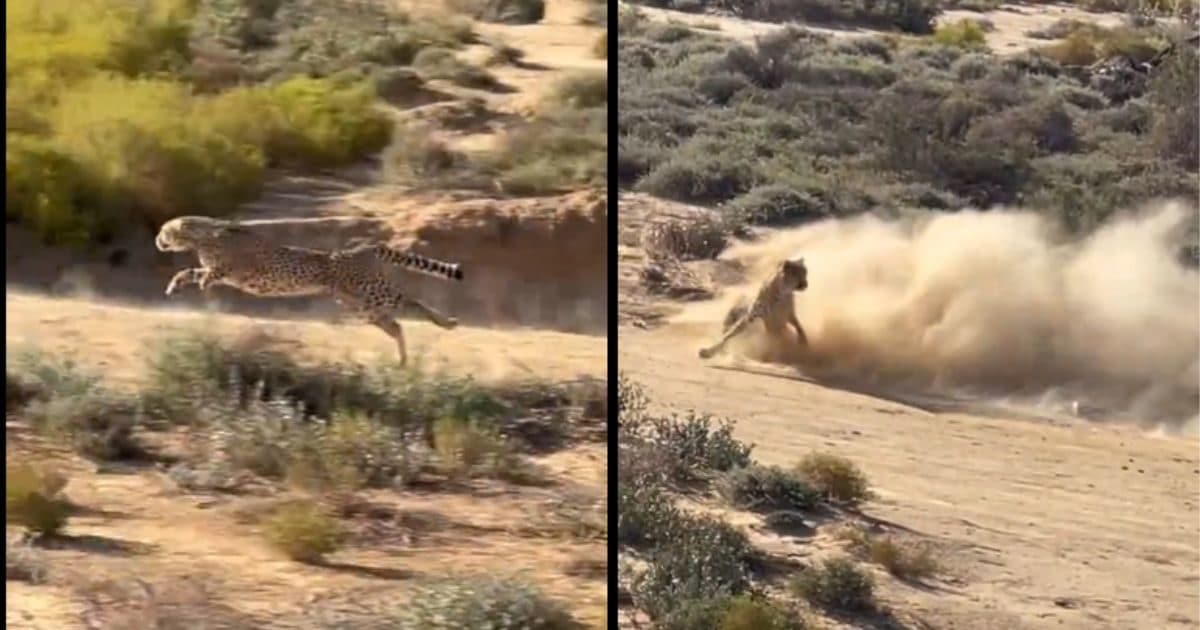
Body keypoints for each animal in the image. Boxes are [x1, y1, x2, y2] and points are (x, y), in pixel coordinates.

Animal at [155, 215, 464, 365]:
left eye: (163, 230)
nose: (158, 240)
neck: (201, 236)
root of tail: (363, 248)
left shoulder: (239, 269)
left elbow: (211, 272)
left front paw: (200, 284)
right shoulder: (225, 272)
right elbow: (188, 272)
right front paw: (174, 286)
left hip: (372, 293)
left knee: (411, 301)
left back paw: (447, 322)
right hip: (360, 305)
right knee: (397, 324)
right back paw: (402, 360)